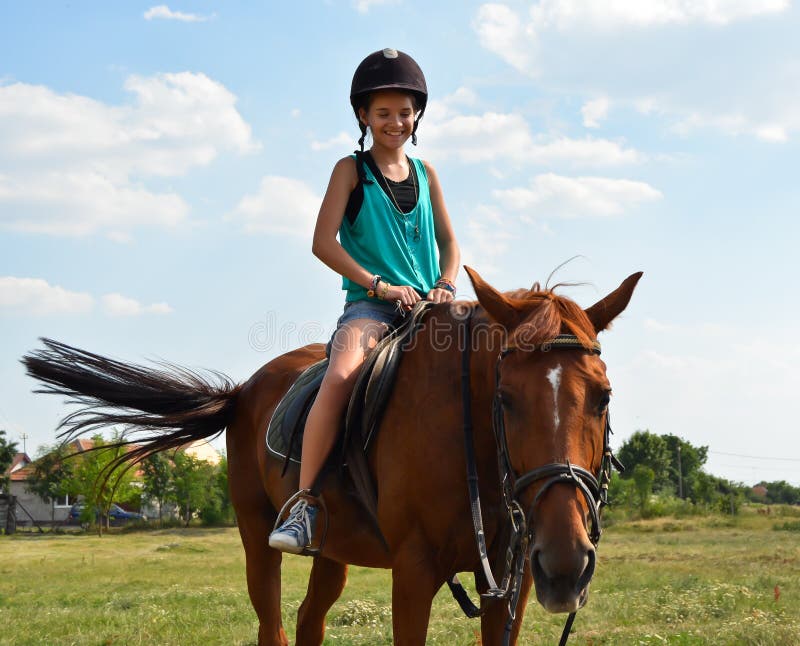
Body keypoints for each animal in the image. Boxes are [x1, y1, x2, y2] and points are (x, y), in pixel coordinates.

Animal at [22, 266, 642, 646]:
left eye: (604, 396)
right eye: (506, 398)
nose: (566, 561)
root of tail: (243, 390)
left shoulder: (514, 584)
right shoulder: (414, 572)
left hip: (333, 551)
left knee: (307, 621)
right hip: (256, 538)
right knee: (273, 626)